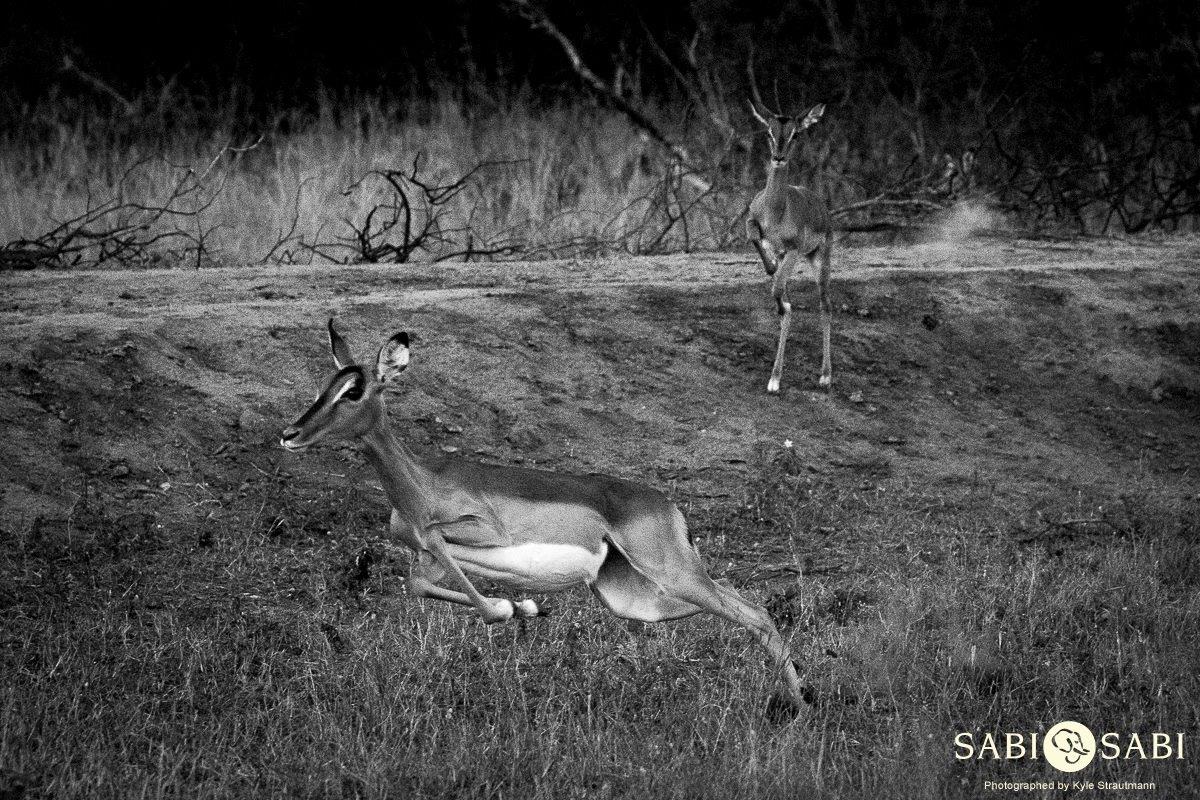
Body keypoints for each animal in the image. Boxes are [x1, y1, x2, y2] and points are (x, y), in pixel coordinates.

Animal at [281, 320, 805, 707]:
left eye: (354, 391)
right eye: (326, 384)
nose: (289, 434)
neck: (421, 483)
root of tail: (668, 505)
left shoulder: (477, 530)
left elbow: (441, 548)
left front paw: (515, 607)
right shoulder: (431, 560)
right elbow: (419, 582)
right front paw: (524, 606)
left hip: (672, 573)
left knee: (756, 614)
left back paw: (802, 708)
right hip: (633, 599)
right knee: (749, 606)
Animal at [746, 99, 833, 394]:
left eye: (795, 134)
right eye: (769, 131)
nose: (779, 157)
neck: (776, 210)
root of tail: (822, 207)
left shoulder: (794, 250)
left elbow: (778, 290)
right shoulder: (753, 222)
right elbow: (754, 236)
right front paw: (770, 266)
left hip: (819, 260)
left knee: (825, 306)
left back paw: (825, 376)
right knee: (792, 305)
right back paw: (775, 378)